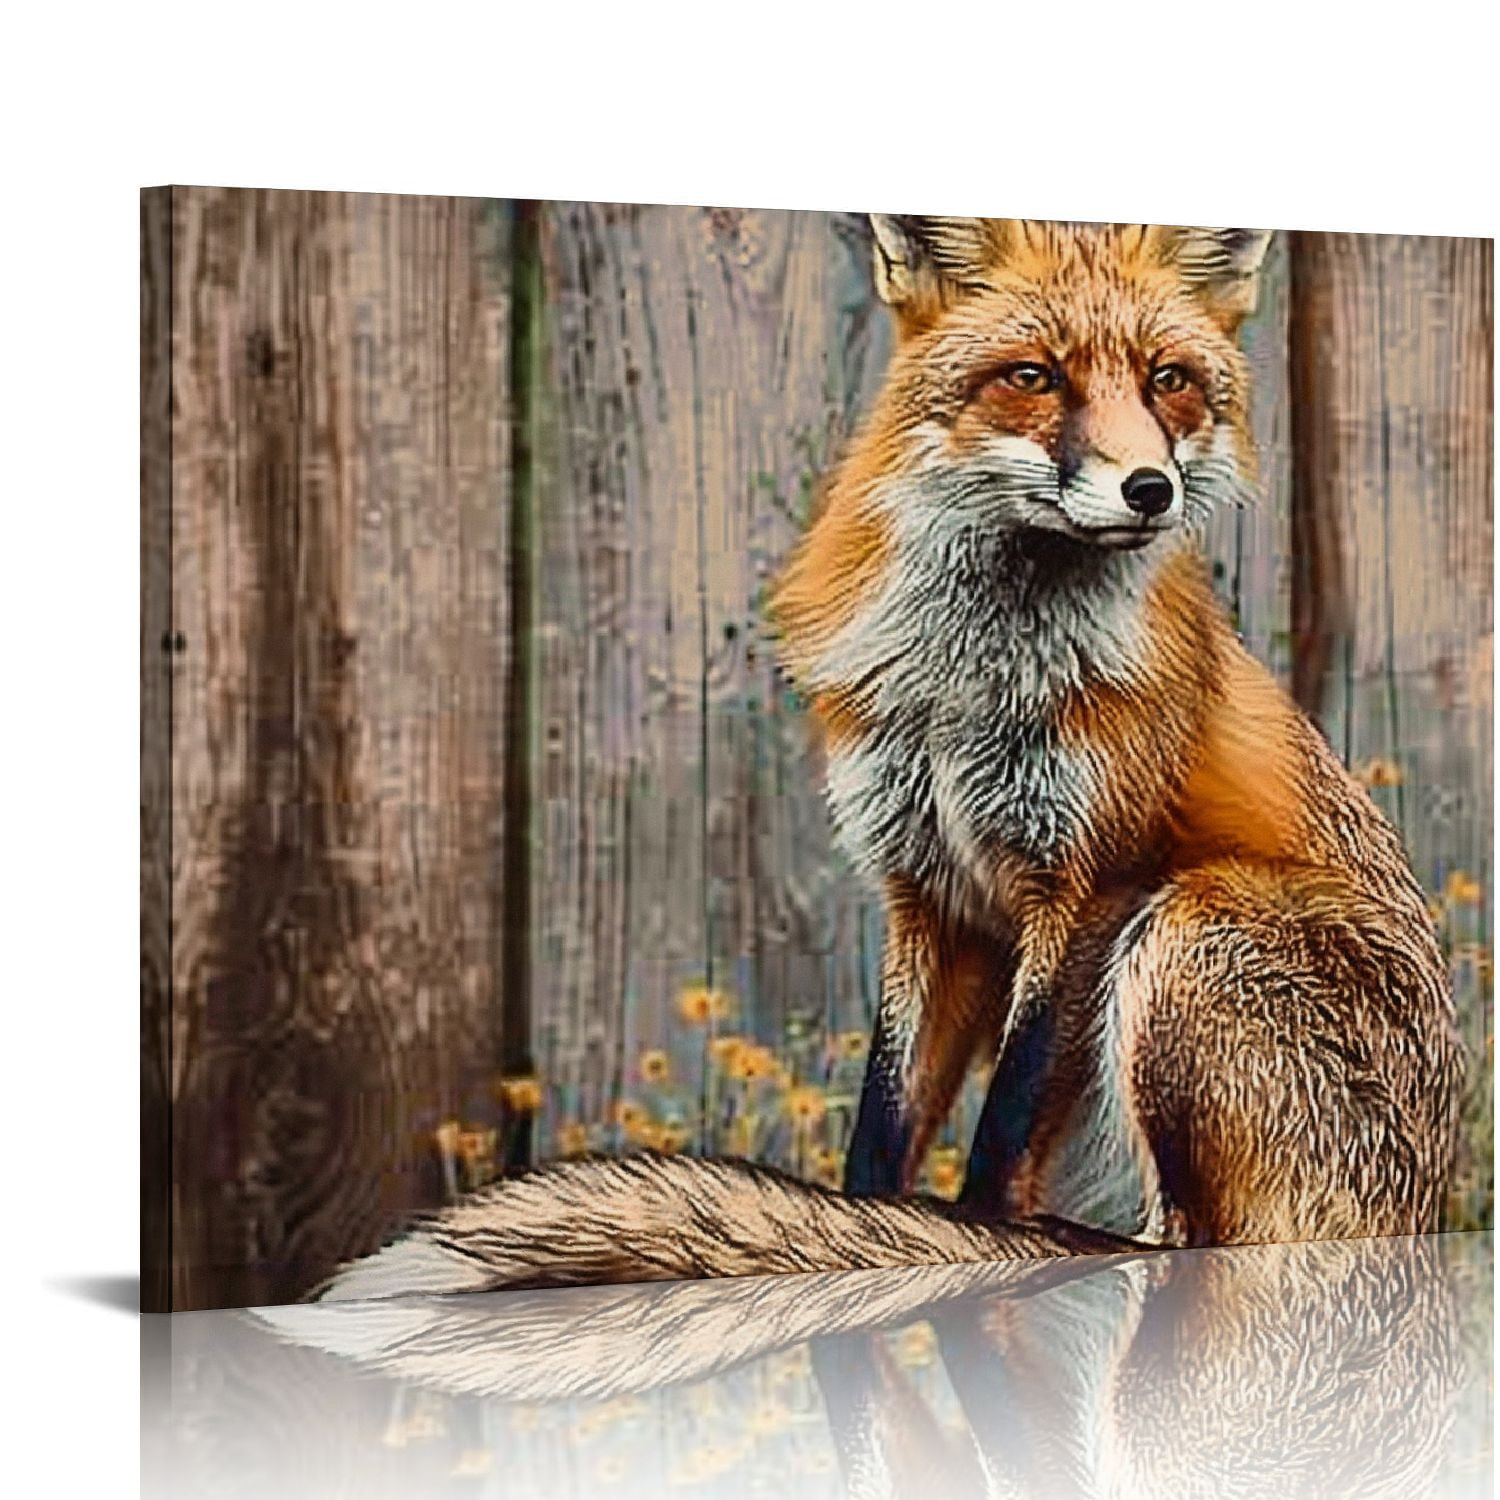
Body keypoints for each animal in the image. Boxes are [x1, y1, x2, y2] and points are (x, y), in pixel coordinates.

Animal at [316, 217, 1463, 1303]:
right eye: (1034, 377)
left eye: (1168, 381)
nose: (1148, 490)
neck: (963, 693)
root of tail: (1422, 1213)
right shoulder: (928, 895)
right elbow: (882, 1135)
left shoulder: (1089, 883)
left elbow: (999, 1141)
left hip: (1192, 920)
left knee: (1178, 1248)